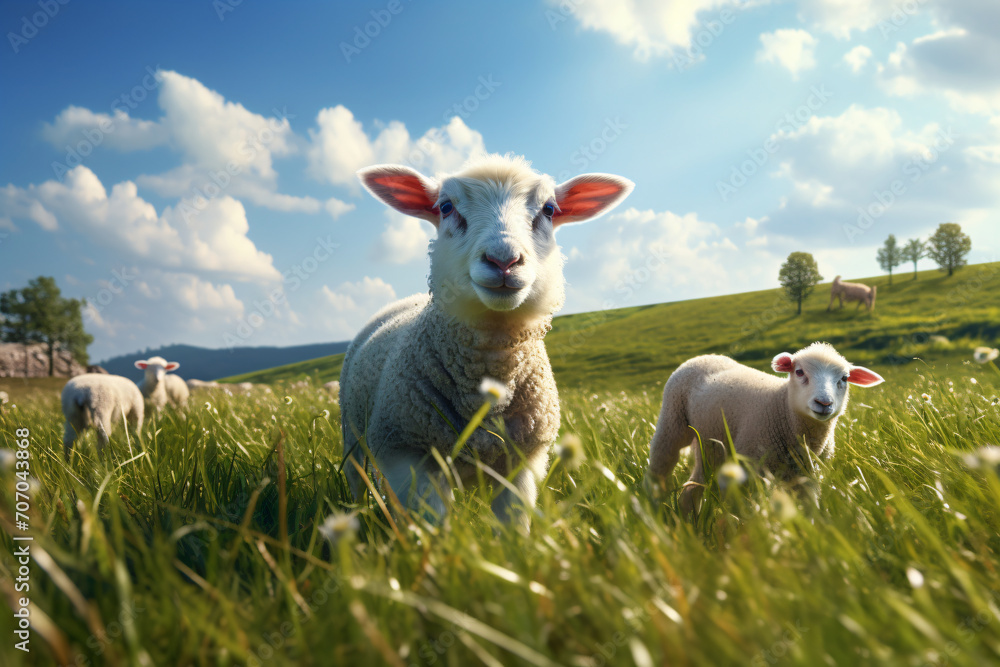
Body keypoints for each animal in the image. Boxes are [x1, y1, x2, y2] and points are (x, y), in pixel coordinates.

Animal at [341, 153, 634, 527]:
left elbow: (514, 524)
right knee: (357, 477)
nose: (503, 260)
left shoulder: (523, 462)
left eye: (549, 209)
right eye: (446, 207)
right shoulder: (406, 453)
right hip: (352, 437)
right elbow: (434, 525)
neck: (489, 366)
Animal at [646, 342, 884, 515]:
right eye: (799, 372)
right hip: (672, 420)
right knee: (662, 460)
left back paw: (688, 518)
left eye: (844, 378)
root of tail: (704, 356)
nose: (824, 403)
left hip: (711, 443)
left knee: (695, 482)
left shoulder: (807, 477)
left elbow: (809, 510)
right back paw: (652, 508)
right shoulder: (750, 470)